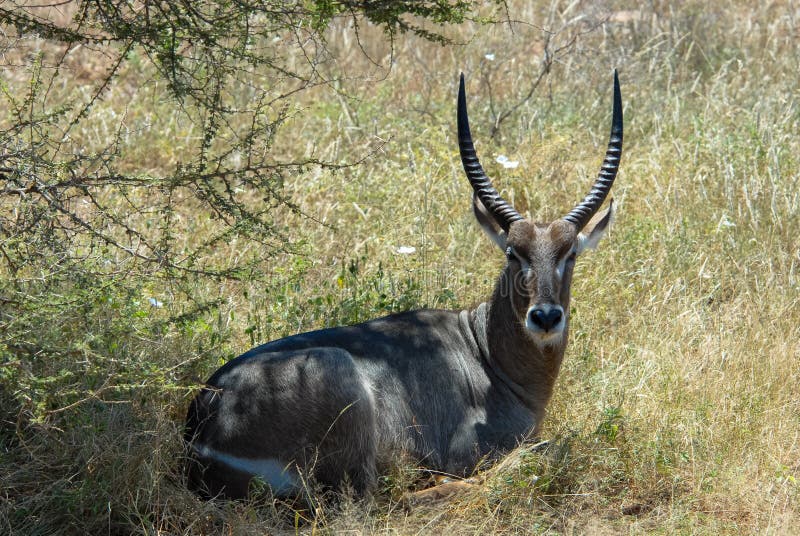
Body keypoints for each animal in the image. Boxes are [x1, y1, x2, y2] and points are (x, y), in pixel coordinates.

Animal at [184, 71, 623, 500]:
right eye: (514, 252)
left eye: (570, 253)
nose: (545, 317)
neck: (487, 353)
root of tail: (204, 416)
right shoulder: (468, 450)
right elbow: (545, 447)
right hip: (344, 398)